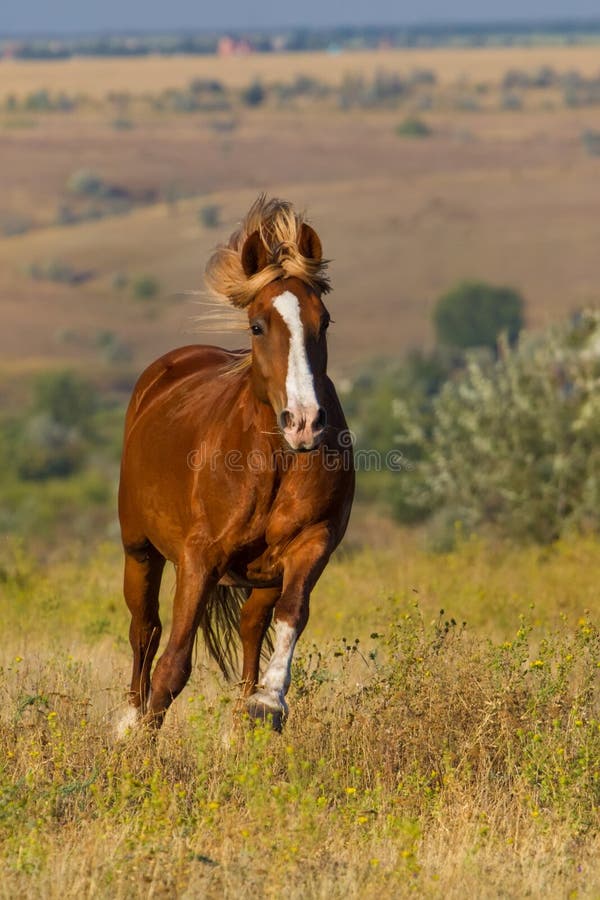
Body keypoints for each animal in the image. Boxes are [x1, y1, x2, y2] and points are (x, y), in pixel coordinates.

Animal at [117, 196, 355, 733]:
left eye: (325, 321)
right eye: (257, 325)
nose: (304, 422)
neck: (272, 466)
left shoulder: (312, 544)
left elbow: (291, 616)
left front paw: (267, 703)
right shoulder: (199, 558)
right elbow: (174, 661)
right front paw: (142, 740)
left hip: (262, 573)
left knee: (251, 628)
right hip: (139, 550)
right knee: (145, 630)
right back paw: (127, 722)